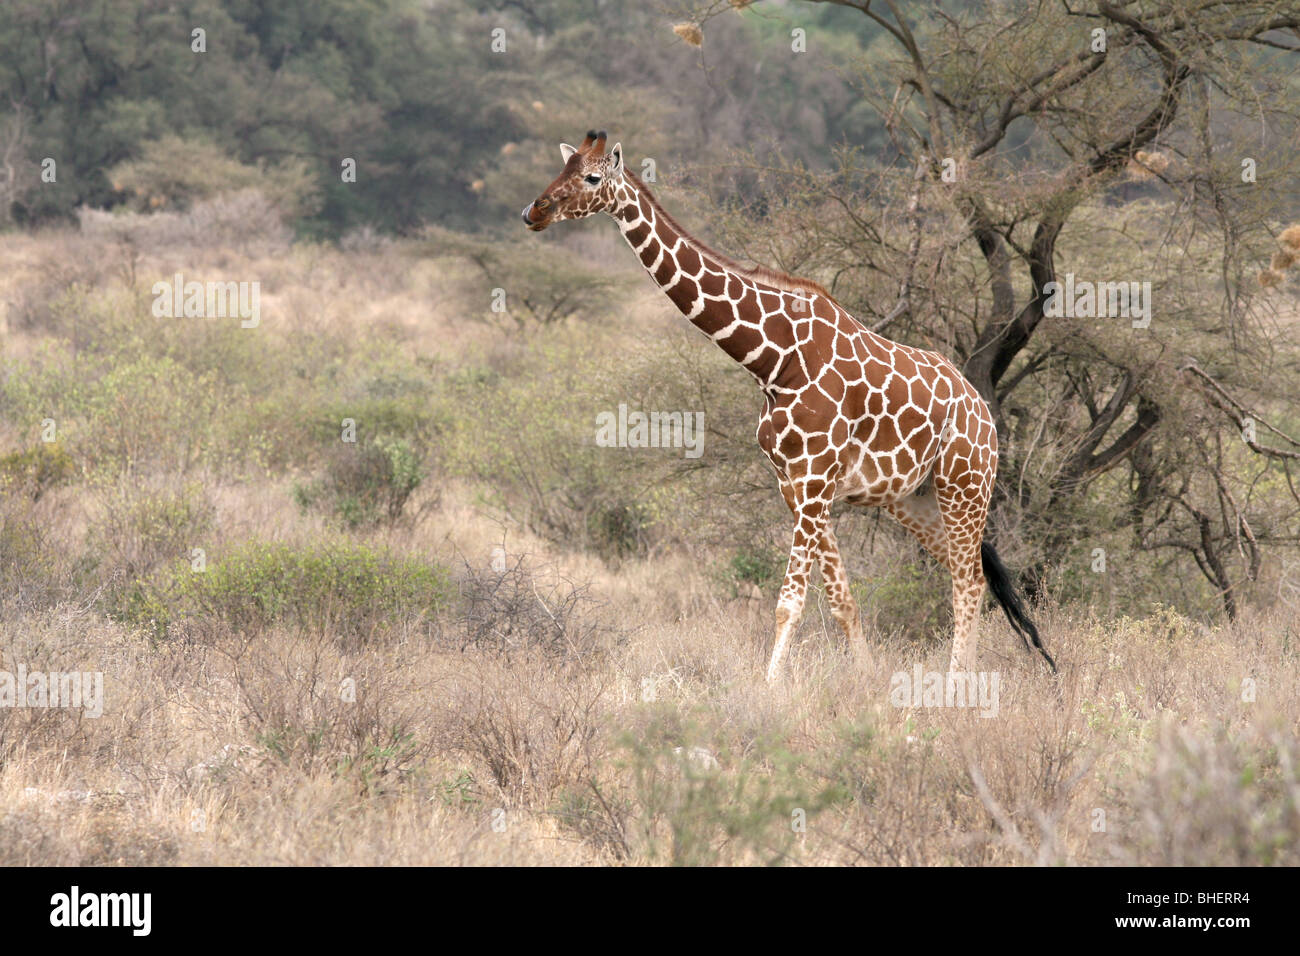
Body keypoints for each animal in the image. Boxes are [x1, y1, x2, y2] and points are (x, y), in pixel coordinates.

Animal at [522, 131, 1056, 681]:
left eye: (591, 177)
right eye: (562, 167)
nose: (533, 211)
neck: (775, 360)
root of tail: (983, 410)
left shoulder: (815, 478)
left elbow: (789, 602)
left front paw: (768, 689)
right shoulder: (793, 484)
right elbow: (841, 599)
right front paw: (865, 679)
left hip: (965, 483)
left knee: (969, 581)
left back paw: (956, 684)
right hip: (913, 497)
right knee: (968, 573)